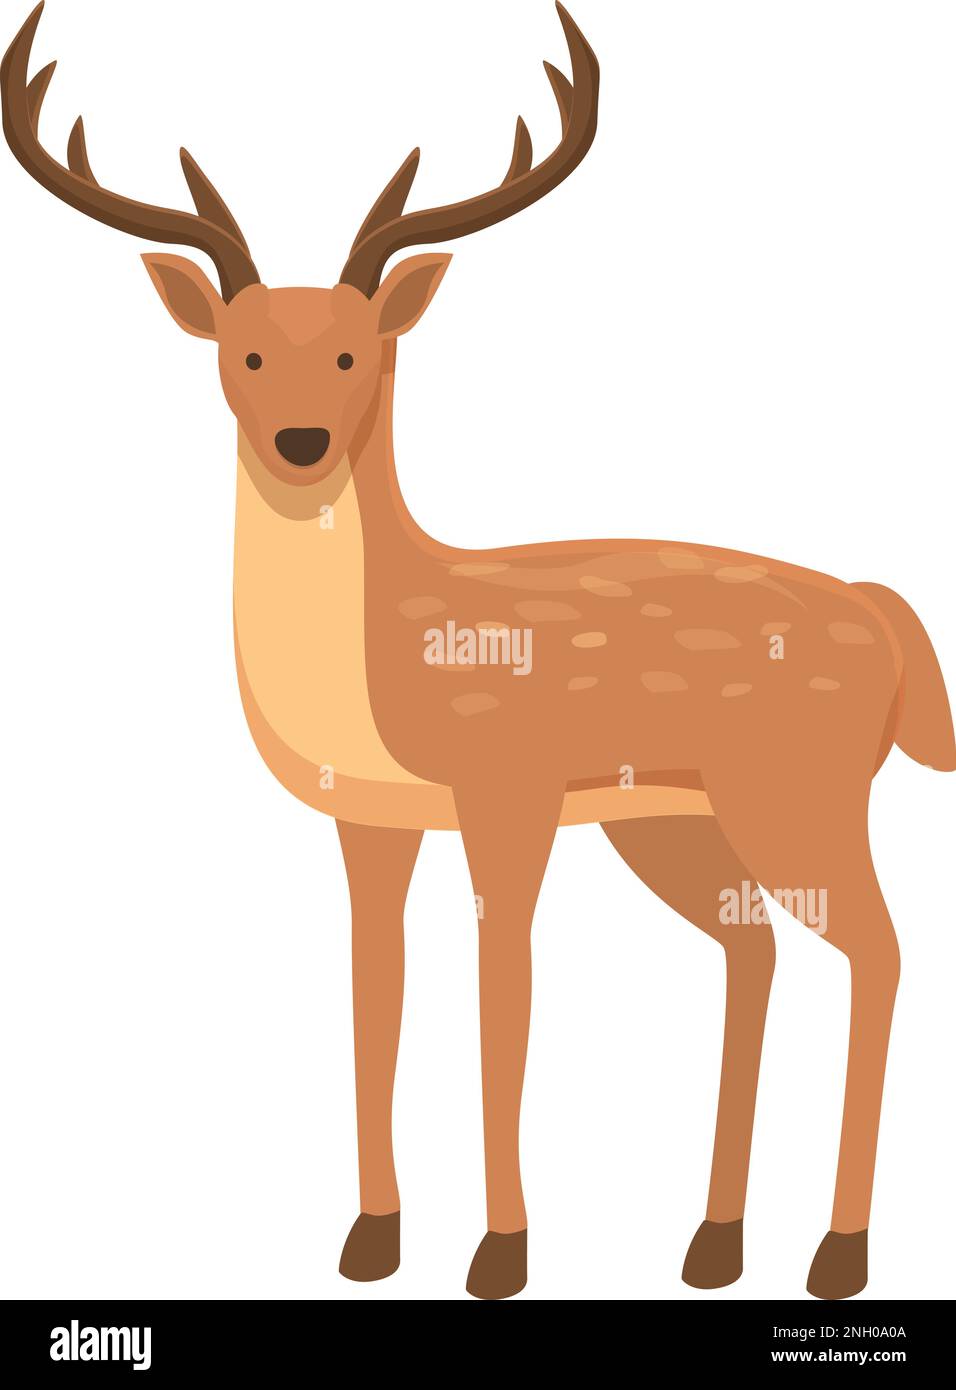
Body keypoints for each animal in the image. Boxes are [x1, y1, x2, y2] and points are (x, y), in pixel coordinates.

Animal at [3, 0, 954, 1303]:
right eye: (244, 353)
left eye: (356, 352)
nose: (300, 441)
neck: (389, 653)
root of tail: (883, 617)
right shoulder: (370, 816)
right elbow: (376, 989)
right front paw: (370, 1238)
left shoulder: (508, 790)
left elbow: (502, 991)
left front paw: (499, 1252)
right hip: (676, 818)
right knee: (752, 944)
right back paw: (711, 1243)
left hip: (797, 790)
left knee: (880, 947)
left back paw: (836, 1255)